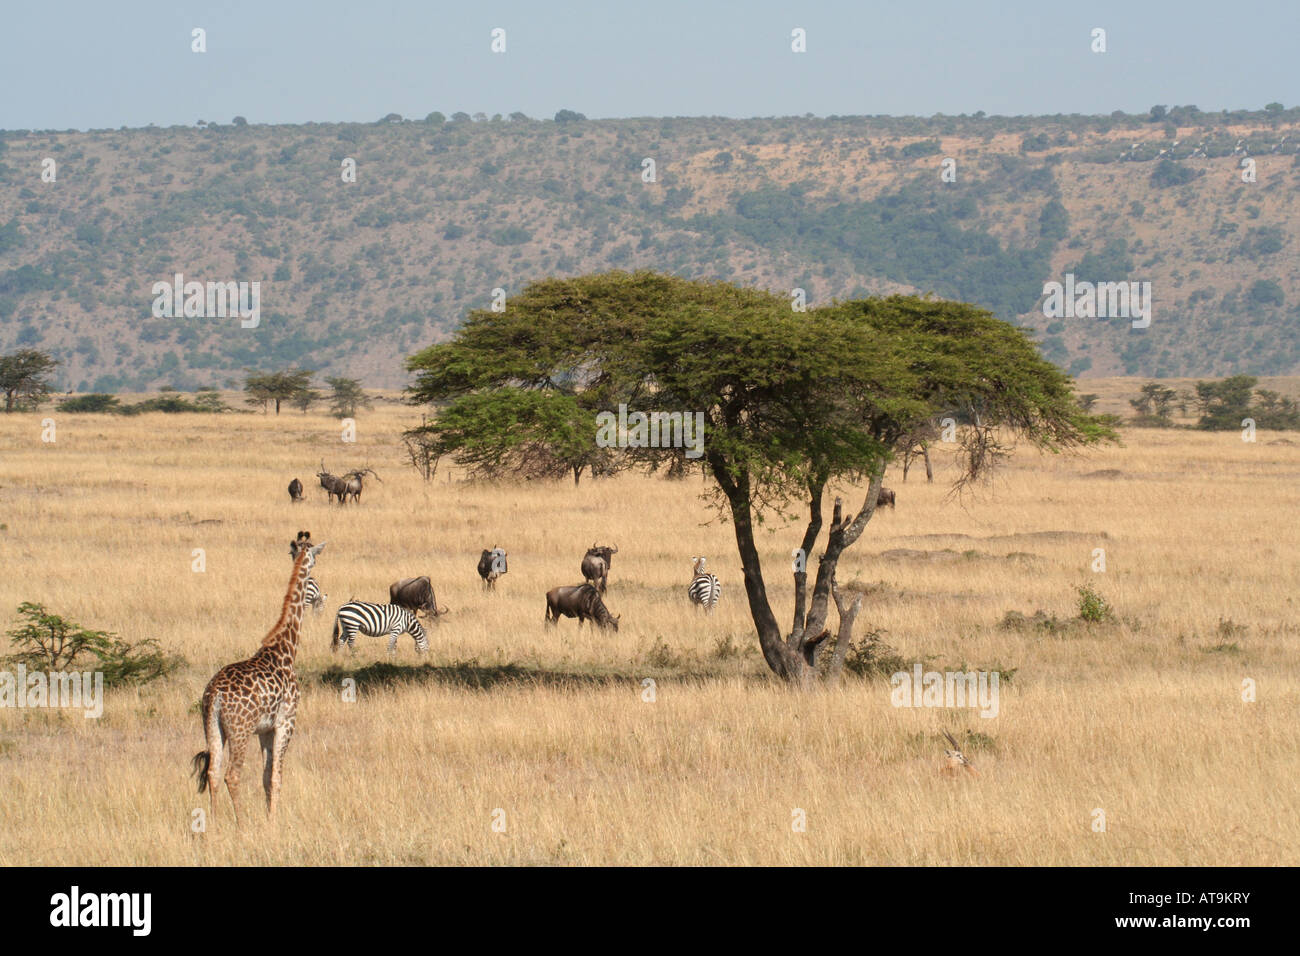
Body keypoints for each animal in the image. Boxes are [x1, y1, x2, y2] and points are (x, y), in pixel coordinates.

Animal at [191, 536, 325, 822]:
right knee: (232, 775)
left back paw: (215, 824)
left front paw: (268, 817)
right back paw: (241, 824)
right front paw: (273, 822)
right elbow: (276, 777)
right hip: (240, 730)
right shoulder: (286, 722)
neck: (285, 649)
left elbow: (265, 778)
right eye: (315, 559)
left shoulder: (265, 729)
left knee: (213, 772)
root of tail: (215, 695)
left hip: (212, 725)